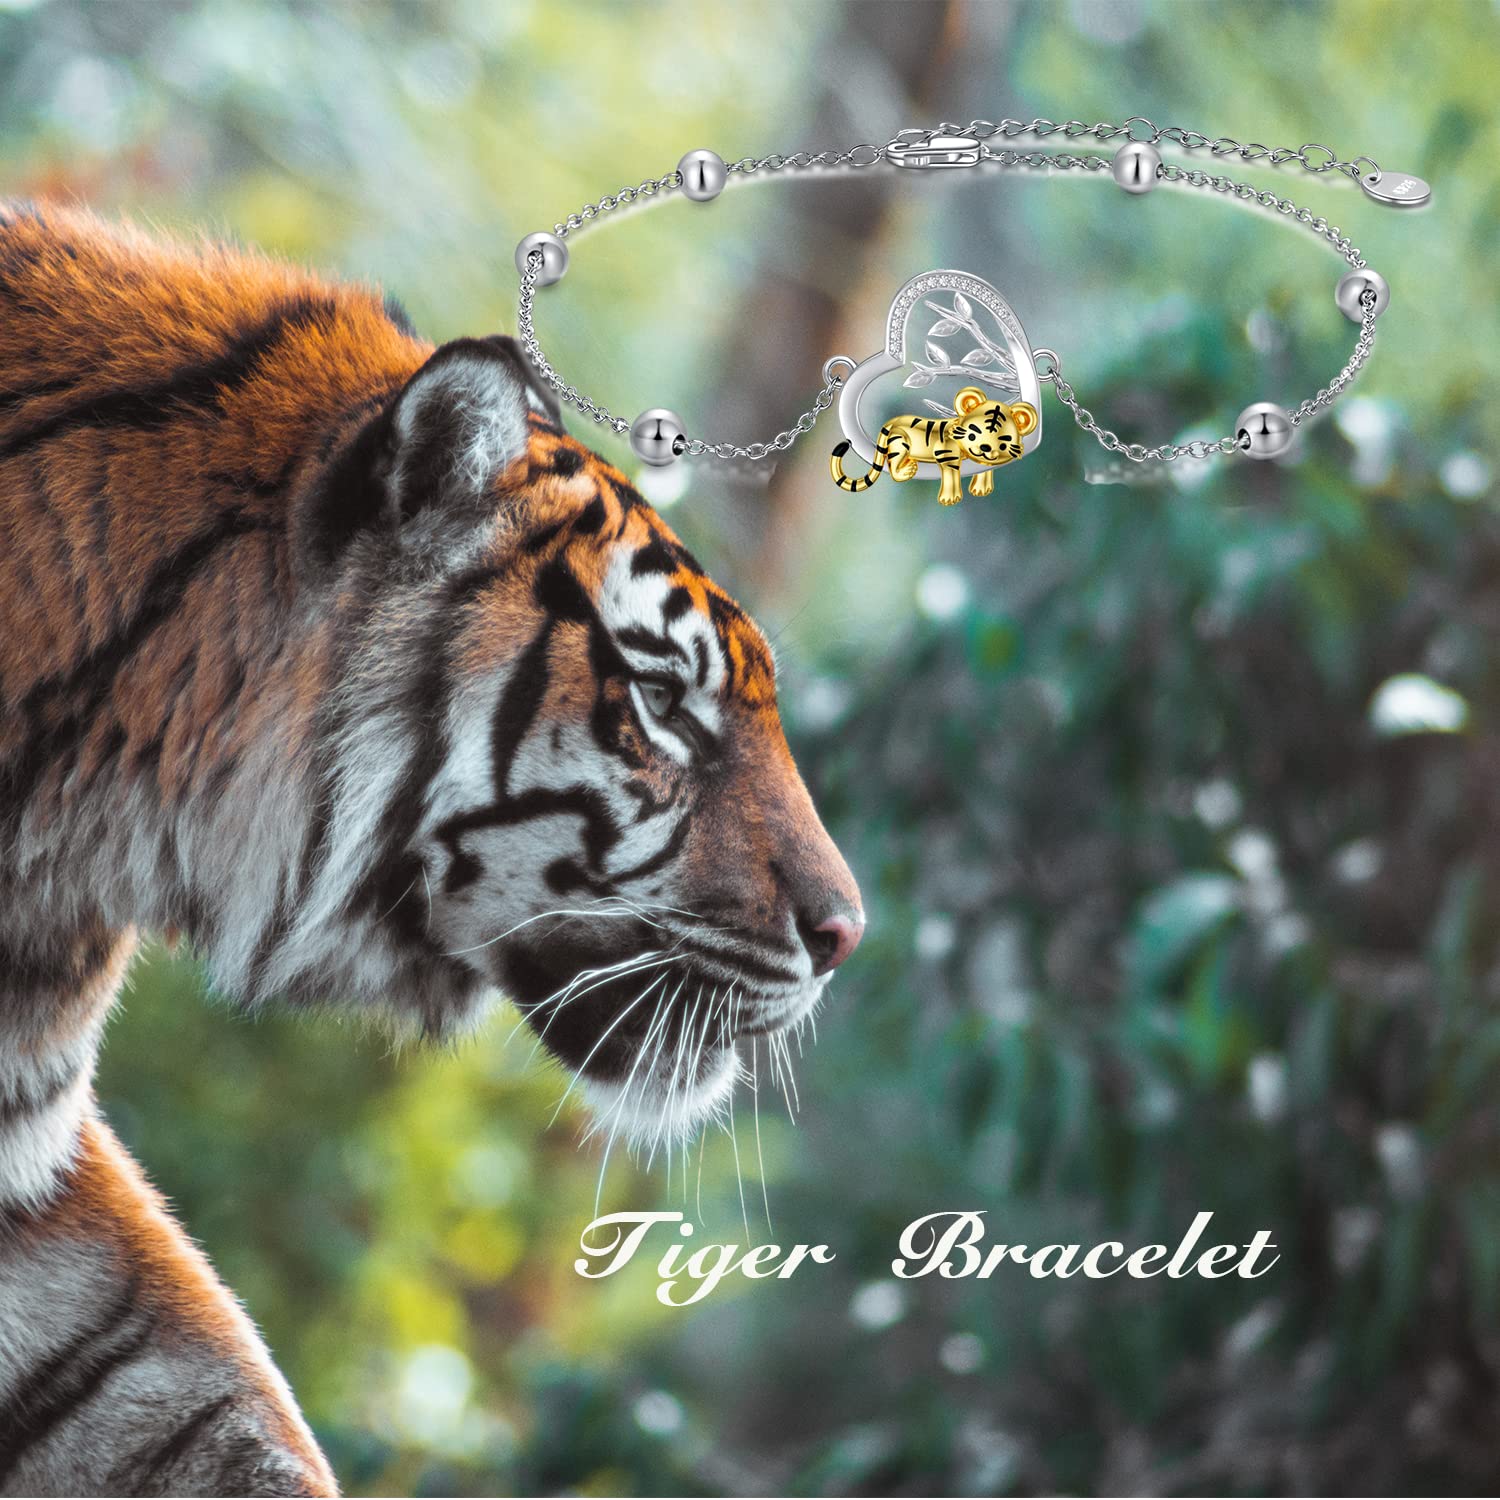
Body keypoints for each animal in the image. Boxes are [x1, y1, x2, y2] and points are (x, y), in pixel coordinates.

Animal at [829, 384, 1039, 505]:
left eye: (1003, 445)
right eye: (973, 435)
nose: (986, 448)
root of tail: (892, 422)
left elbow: (985, 469)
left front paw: (981, 489)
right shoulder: (946, 455)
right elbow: (951, 475)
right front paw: (950, 498)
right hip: (900, 443)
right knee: (894, 467)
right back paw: (908, 469)